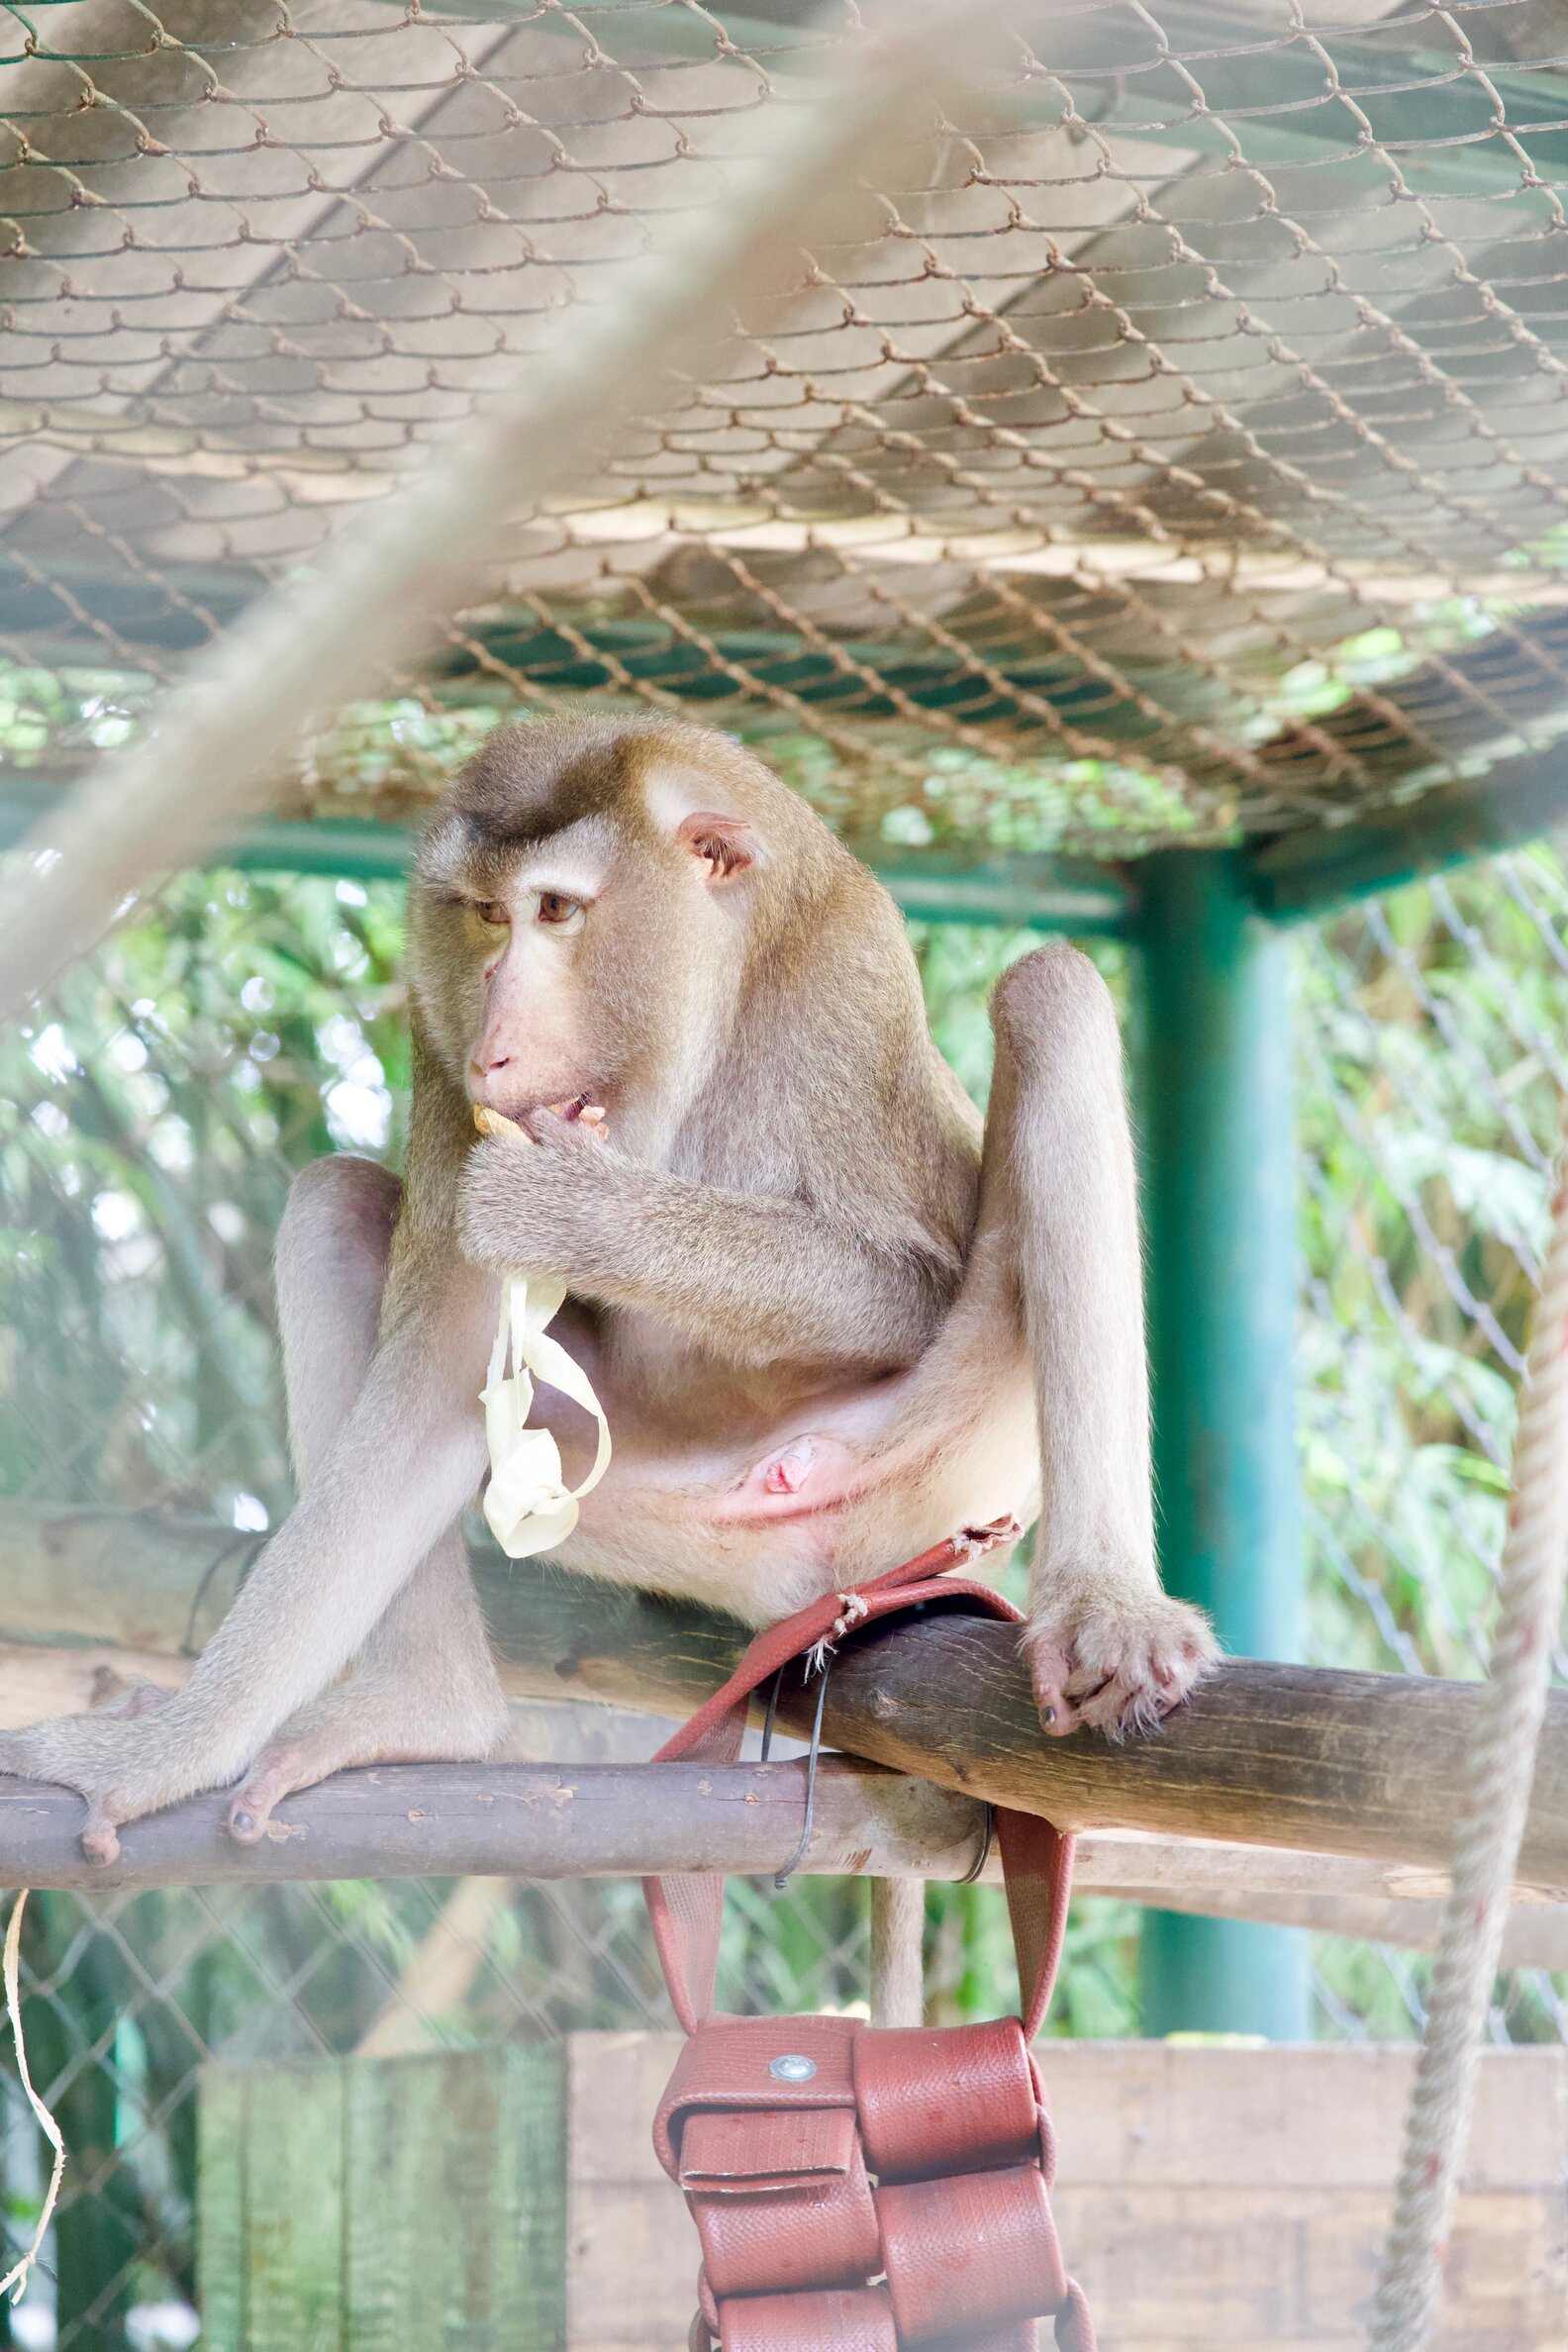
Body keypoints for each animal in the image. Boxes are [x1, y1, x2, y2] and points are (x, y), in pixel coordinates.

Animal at [0, 712, 1216, 1861]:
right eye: (484, 917)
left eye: (557, 911)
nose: (495, 1046)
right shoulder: (438, 1041)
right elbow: (437, 1368)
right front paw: (169, 1753)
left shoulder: (844, 971)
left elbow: (907, 1285)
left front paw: (579, 1213)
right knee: (333, 1210)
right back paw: (425, 1708)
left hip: (948, 1458)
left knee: (1052, 993)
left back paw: (1106, 1607)